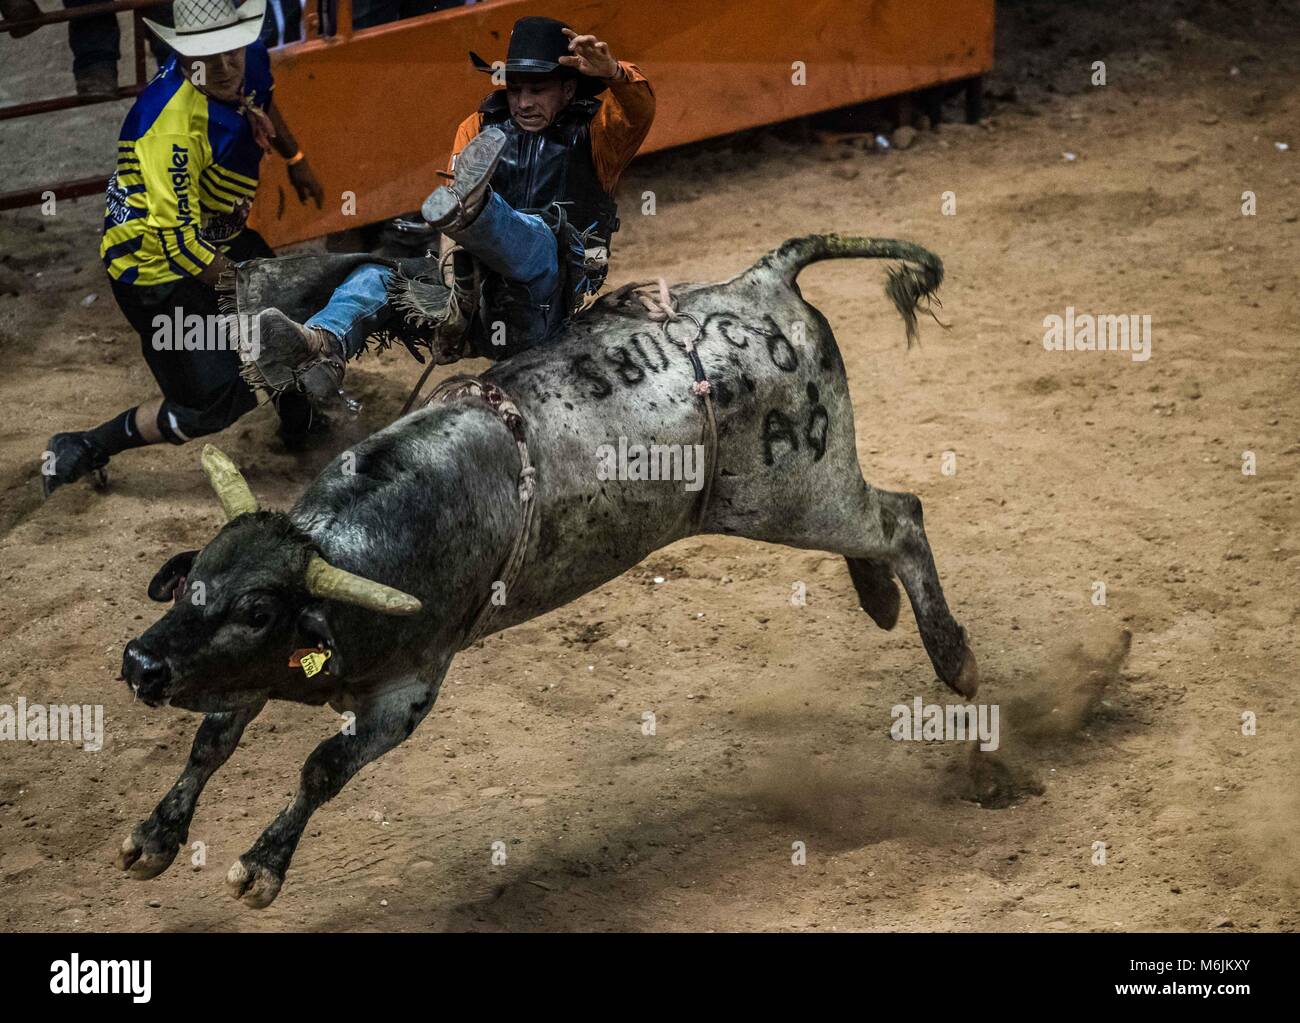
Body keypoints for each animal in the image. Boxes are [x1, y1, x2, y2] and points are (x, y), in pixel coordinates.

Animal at [117, 234, 978, 908]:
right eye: (196, 581)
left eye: (260, 609)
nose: (140, 663)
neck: (359, 541)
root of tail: (761, 281)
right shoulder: (239, 667)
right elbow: (213, 738)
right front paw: (154, 835)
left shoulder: (408, 690)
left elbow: (322, 765)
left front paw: (261, 865)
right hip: (799, 496)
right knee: (879, 526)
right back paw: (878, 600)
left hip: (795, 493)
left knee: (900, 519)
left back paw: (955, 658)